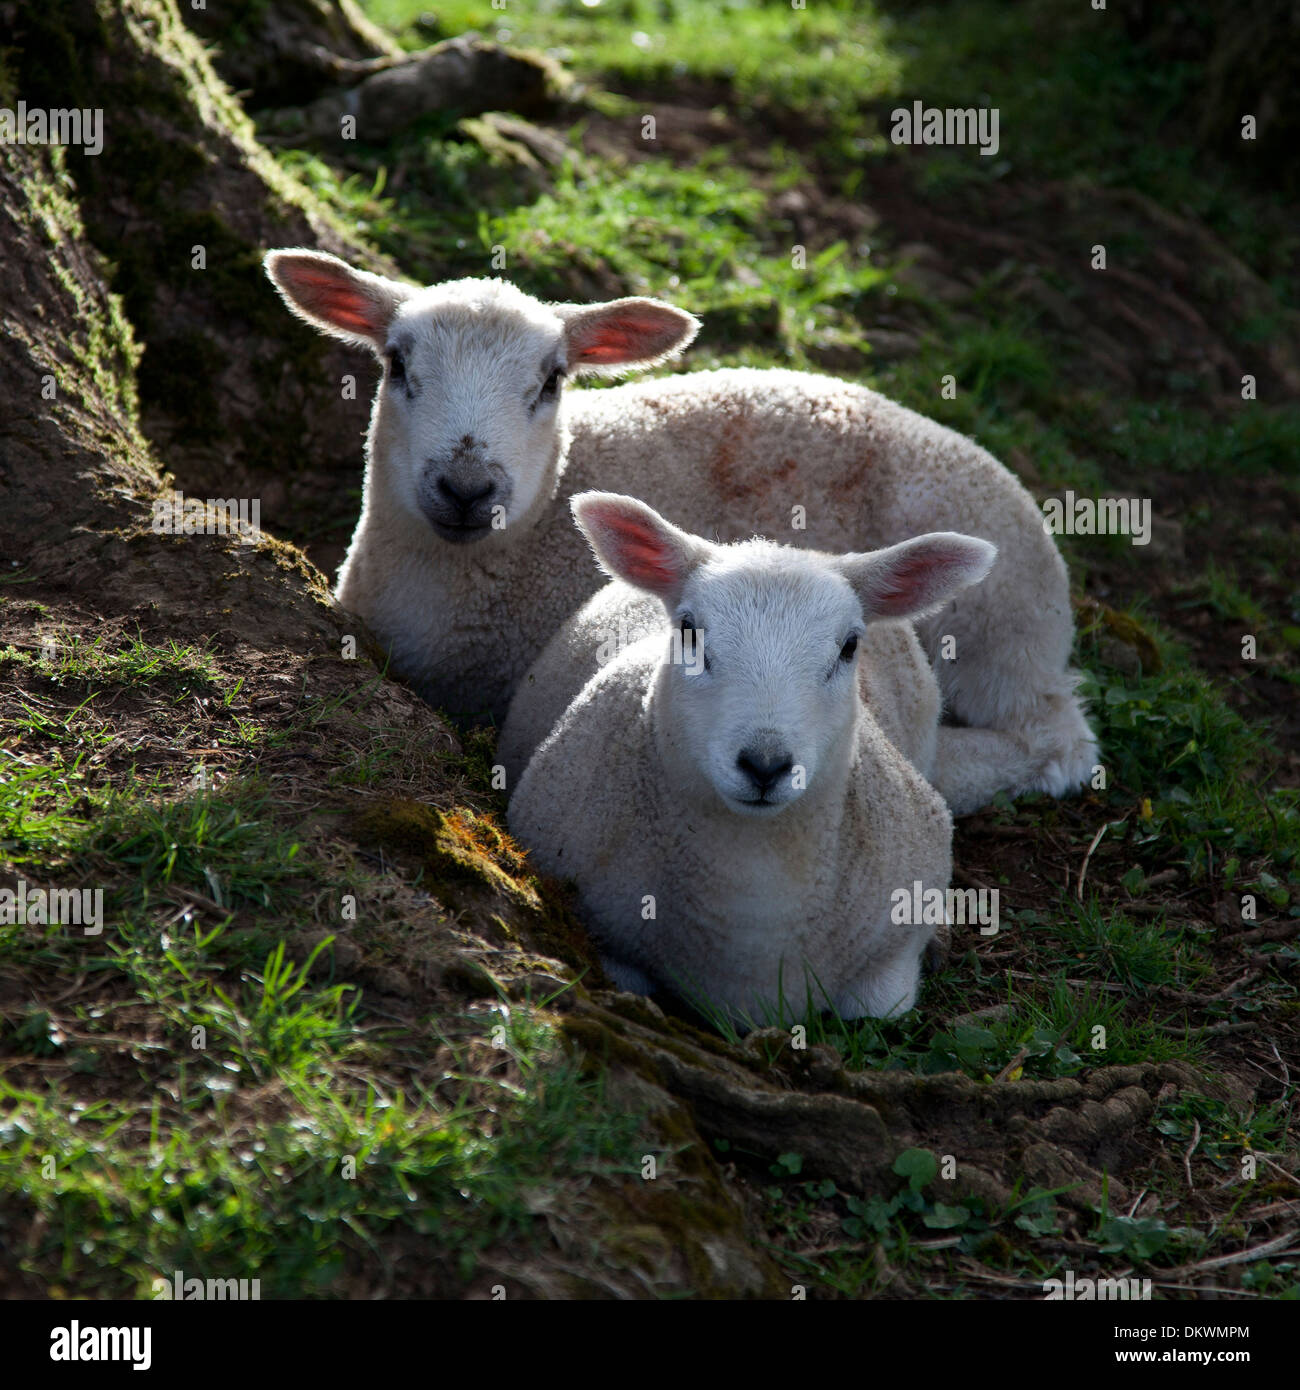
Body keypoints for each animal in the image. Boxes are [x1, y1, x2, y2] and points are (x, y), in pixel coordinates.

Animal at [506, 491, 999, 1023]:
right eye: (688, 630)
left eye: (850, 646)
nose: (765, 765)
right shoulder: (605, 939)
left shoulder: (891, 958)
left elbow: (880, 1006)